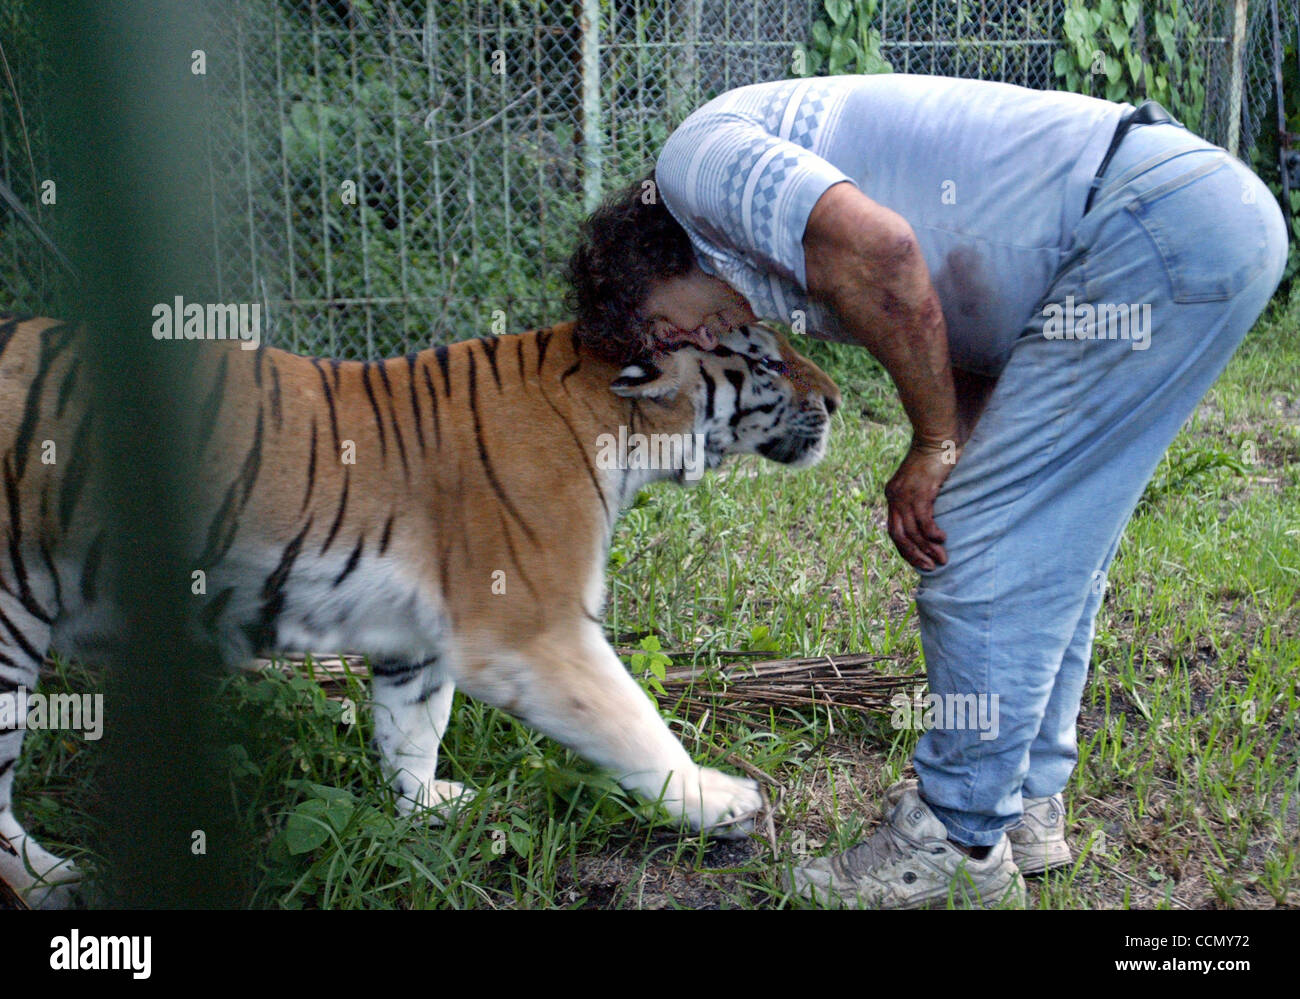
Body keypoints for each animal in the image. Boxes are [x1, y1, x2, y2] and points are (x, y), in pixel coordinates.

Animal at [0, 313, 840, 907]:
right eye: (766, 361)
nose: (835, 398)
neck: (624, 430)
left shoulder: (417, 632)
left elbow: (413, 724)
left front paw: (424, 806)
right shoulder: (529, 628)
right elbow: (632, 722)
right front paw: (714, 798)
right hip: (10, 621)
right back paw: (49, 881)